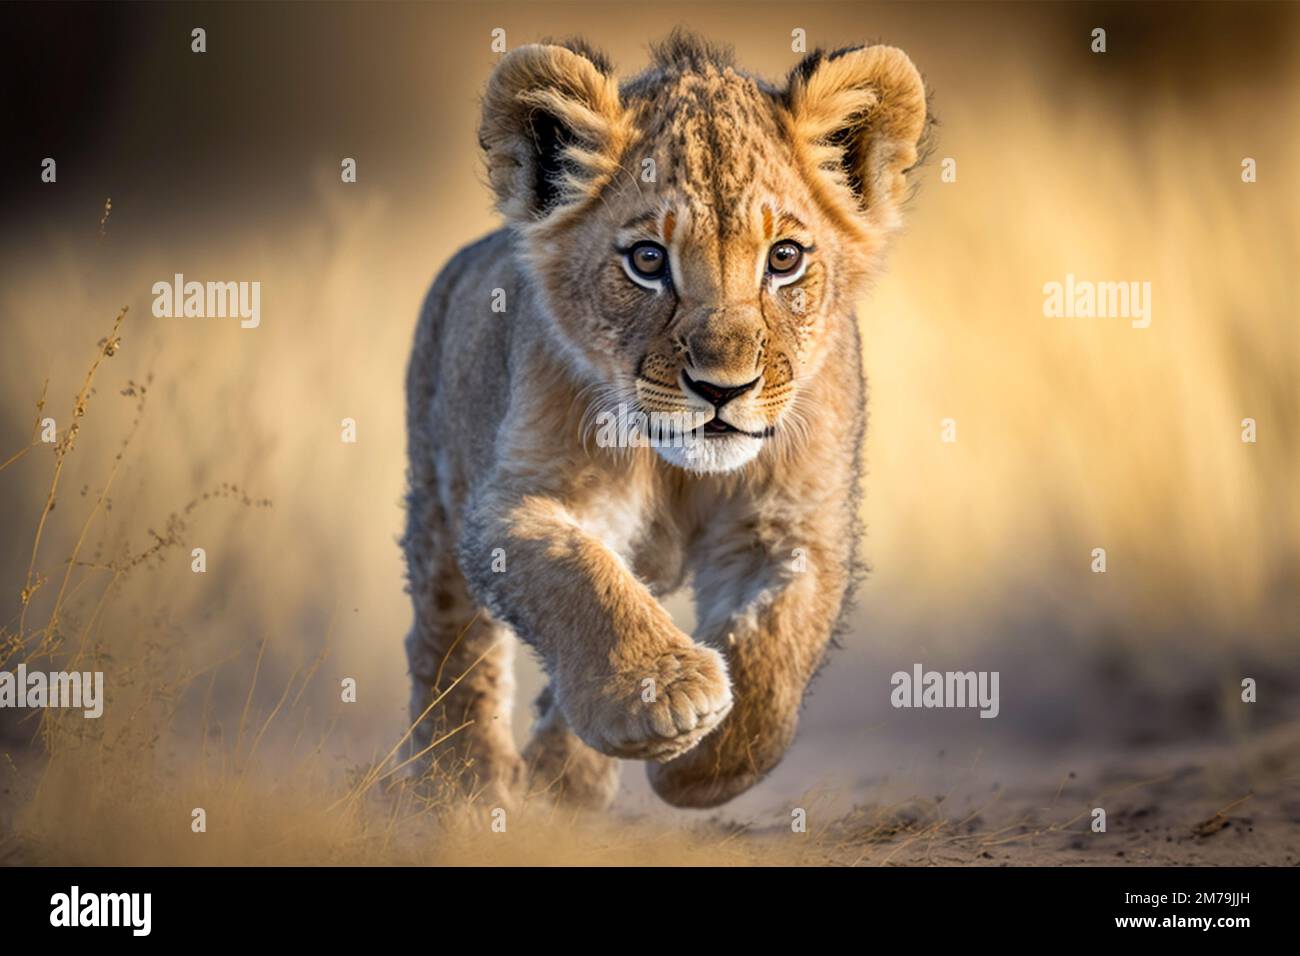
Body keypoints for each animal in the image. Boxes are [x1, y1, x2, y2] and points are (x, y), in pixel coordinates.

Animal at [402, 31, 928, 810]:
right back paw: (463, 784)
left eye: (785, 258)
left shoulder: (797, 523)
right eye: (648, 260)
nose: (721, 388)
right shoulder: (516, 500)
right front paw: (664, 696)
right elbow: (579, 577)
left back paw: (565, 780)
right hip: (435, 506)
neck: (675, 470)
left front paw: (703, 761)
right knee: (451, 643)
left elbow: (776, 643)